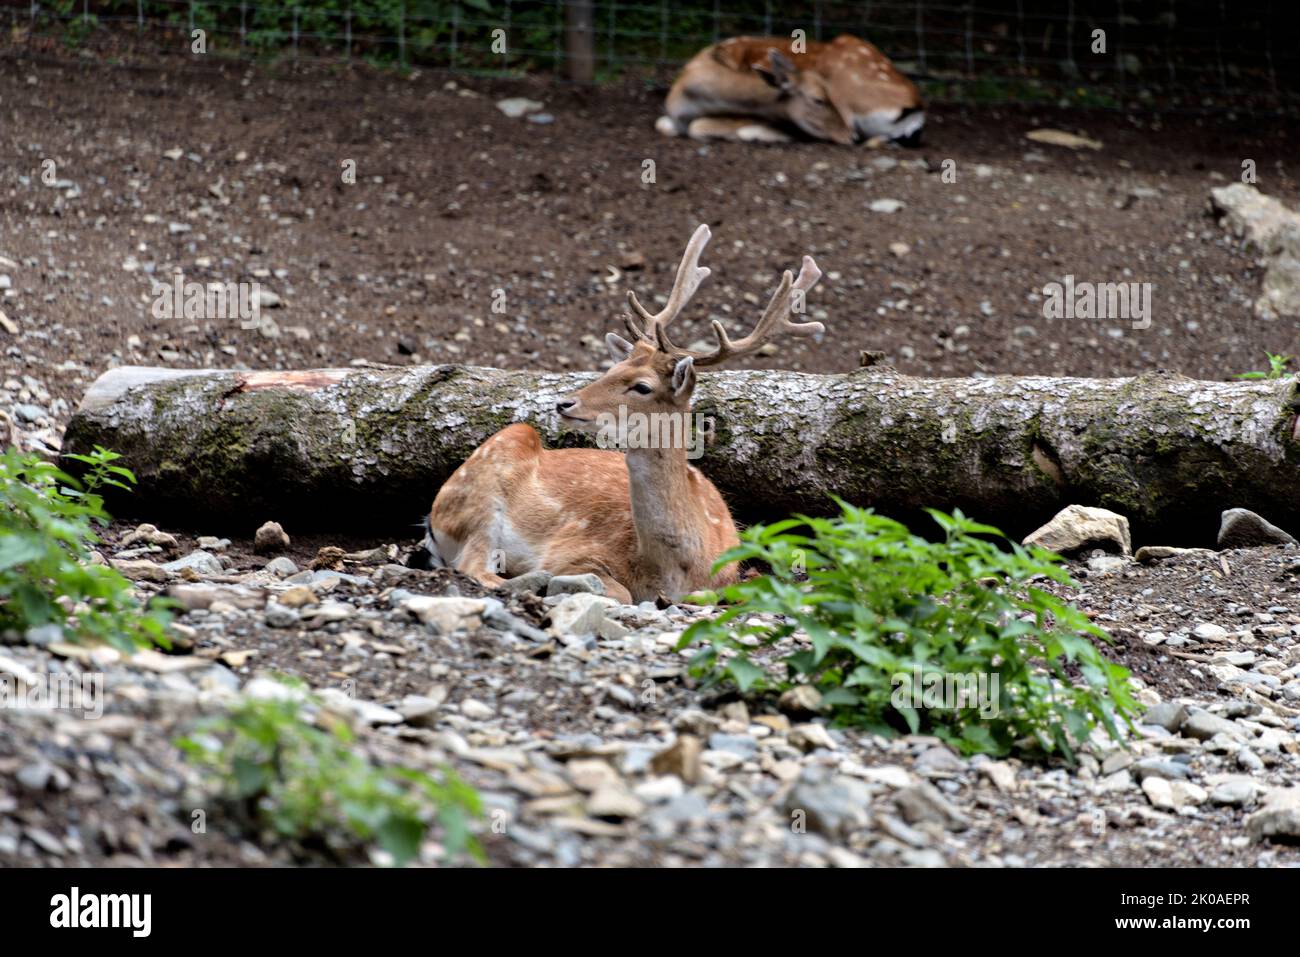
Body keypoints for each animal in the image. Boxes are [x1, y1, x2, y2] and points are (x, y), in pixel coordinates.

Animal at [423, 225, 825, 604]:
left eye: (642, 387)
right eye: (612, 368)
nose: (565, 403)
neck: (675, 569)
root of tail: (431, 517)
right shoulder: (572, 553)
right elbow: (619, 592)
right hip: (489, 480)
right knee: (473, 565)